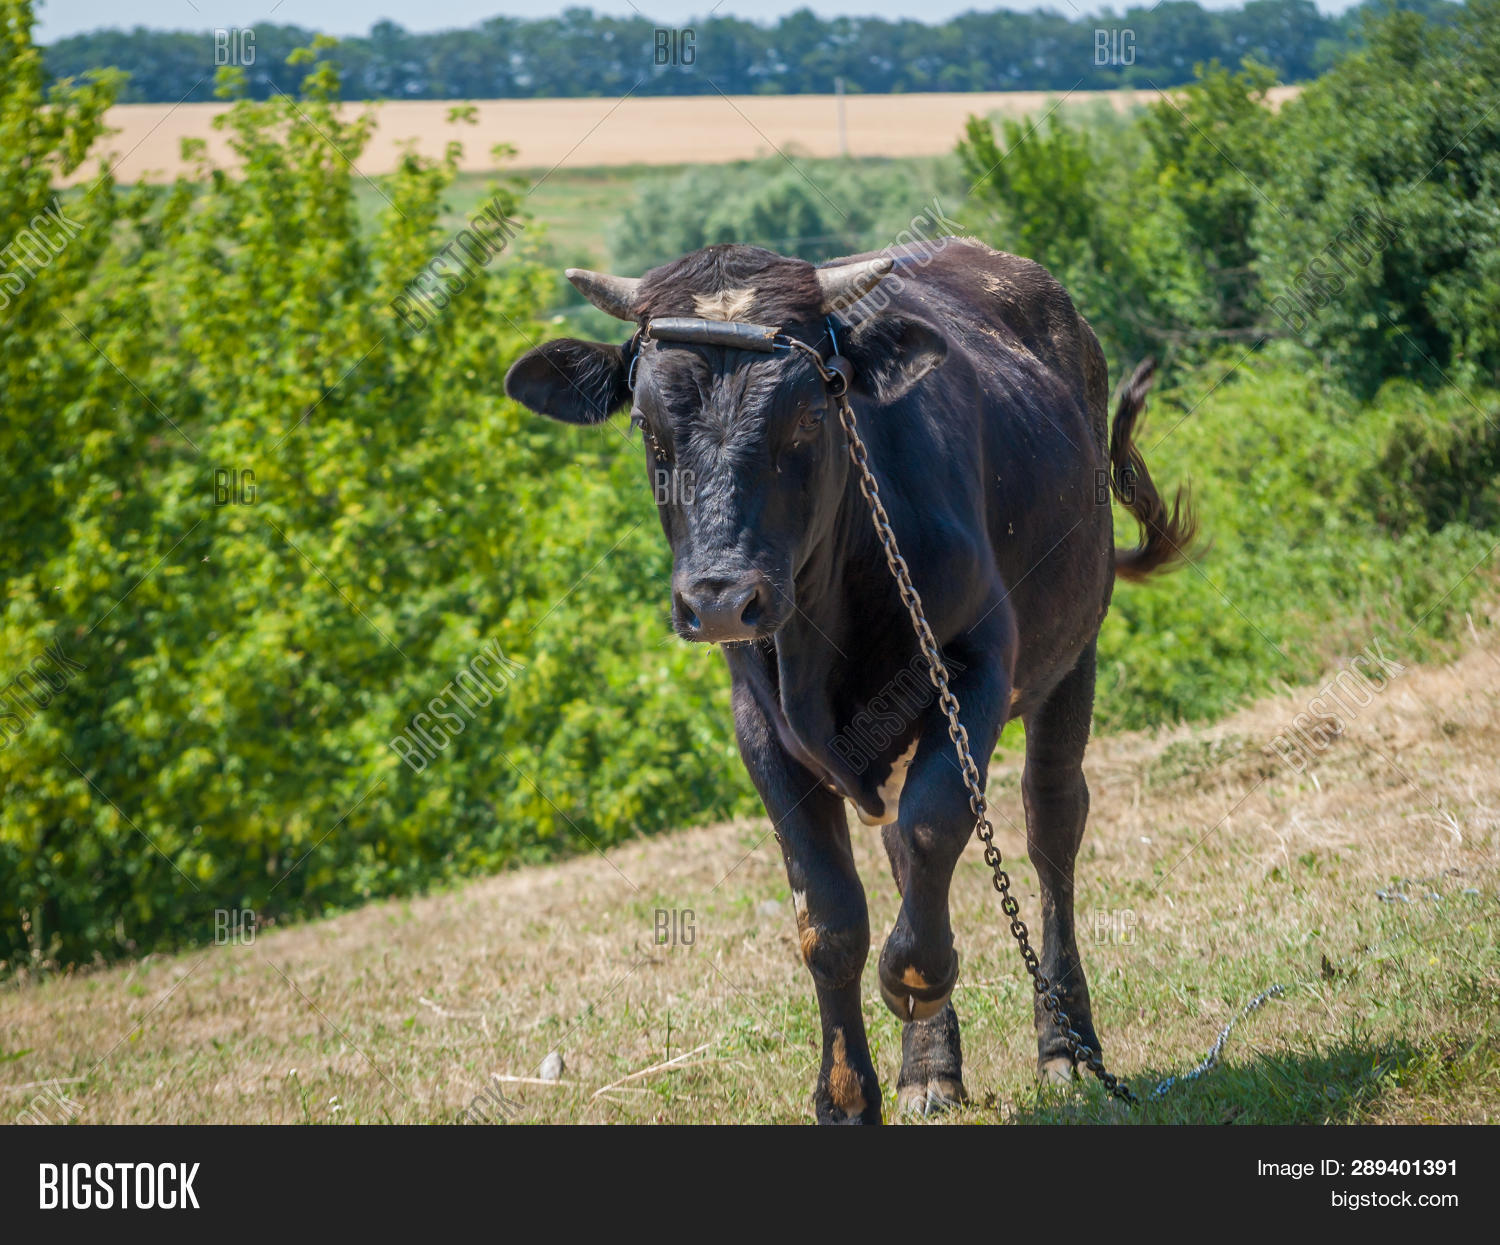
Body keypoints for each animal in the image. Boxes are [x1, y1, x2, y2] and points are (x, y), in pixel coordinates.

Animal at [504, 238, 1194, 1123]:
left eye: (807, 415)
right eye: (649, 427)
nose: (720, 598)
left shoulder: (976, 663)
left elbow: (934, 824)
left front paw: (918, 975)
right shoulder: (759, 725)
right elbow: (829, 914)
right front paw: (846, 1091)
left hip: (1074, 654)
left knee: (1049, 830)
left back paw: (1066, 1045)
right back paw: (929, 1068)